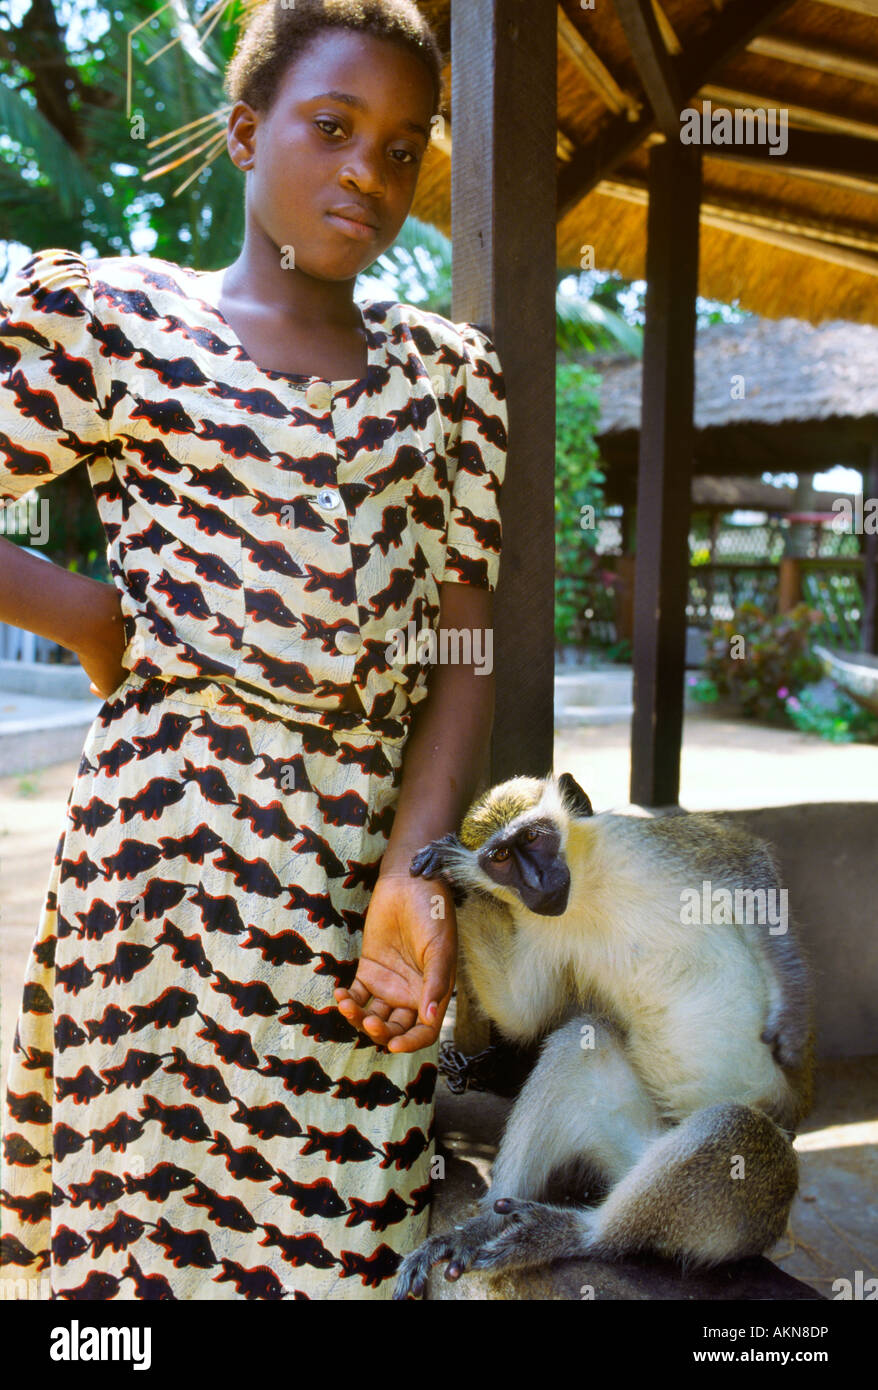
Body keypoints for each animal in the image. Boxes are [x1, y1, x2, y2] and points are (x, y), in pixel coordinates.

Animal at [393, 773, 813, 1299]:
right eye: (501, 857)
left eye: (534, 837)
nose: (536, 881)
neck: (585, 886)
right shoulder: (537, 922)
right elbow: (522, 1008)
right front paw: (455, 879)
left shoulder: (641, 841)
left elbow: (749, 873)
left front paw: (792, 1006)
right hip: (633, 1151)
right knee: (579, 1041)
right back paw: (487, 1223)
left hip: (757, 1209)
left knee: (732, 1127)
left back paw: (579, 1234)